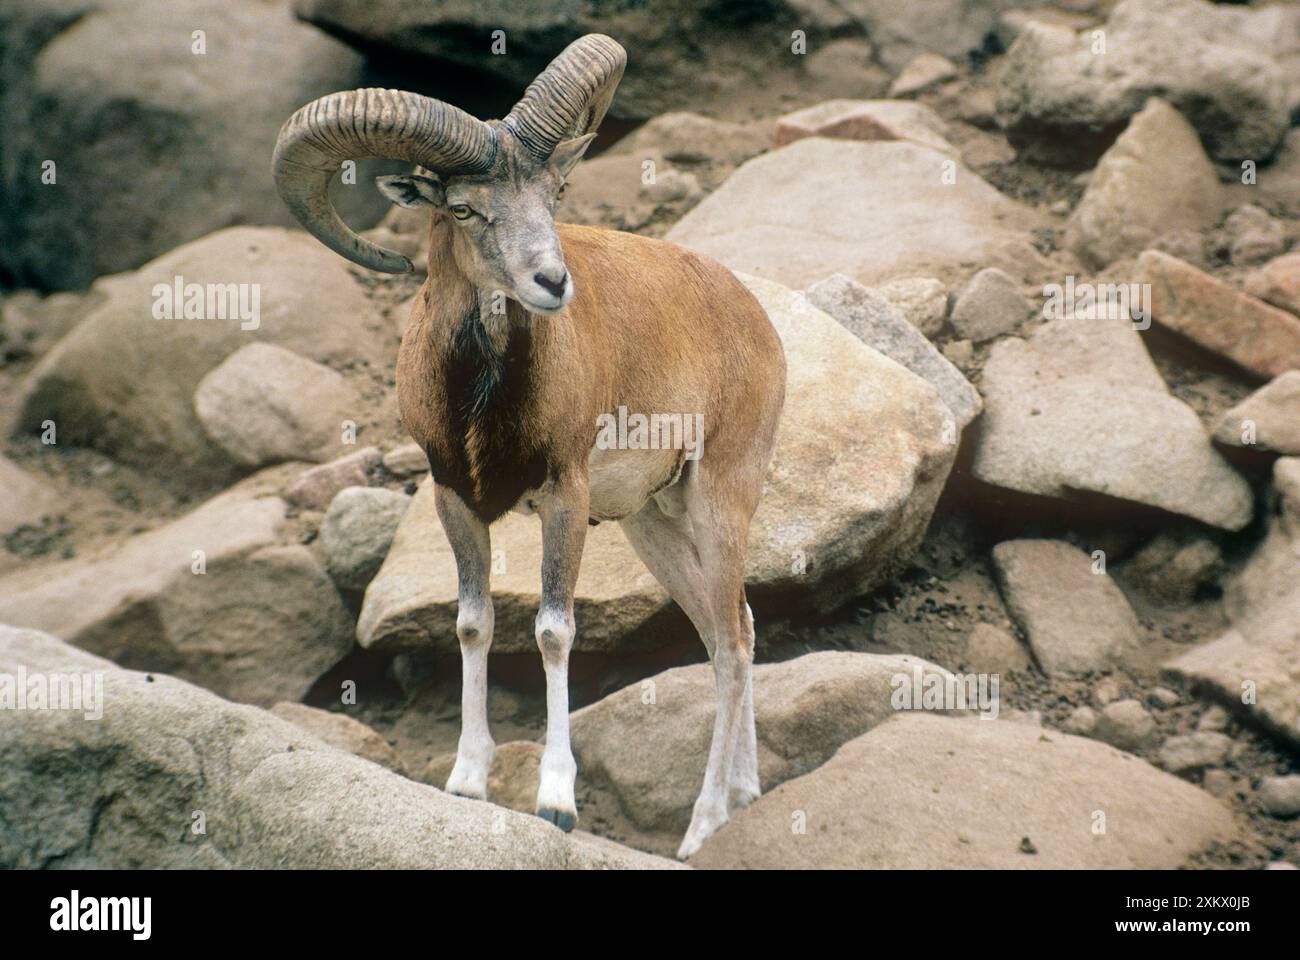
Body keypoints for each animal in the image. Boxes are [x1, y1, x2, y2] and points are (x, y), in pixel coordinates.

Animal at [273, 34, 786, 859]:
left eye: (556, 195)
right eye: (463, 206)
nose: (551, 282)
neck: (486, 401)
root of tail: (756, 318)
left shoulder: (564, 500)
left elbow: (551, 631)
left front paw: (556, 803)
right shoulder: (454, 500)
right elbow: (473, 622)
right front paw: (466, 782)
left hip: (720, 499)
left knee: (734, 645)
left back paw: (703, 827)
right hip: (652, 525)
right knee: (725, 630)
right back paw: (744, 797)